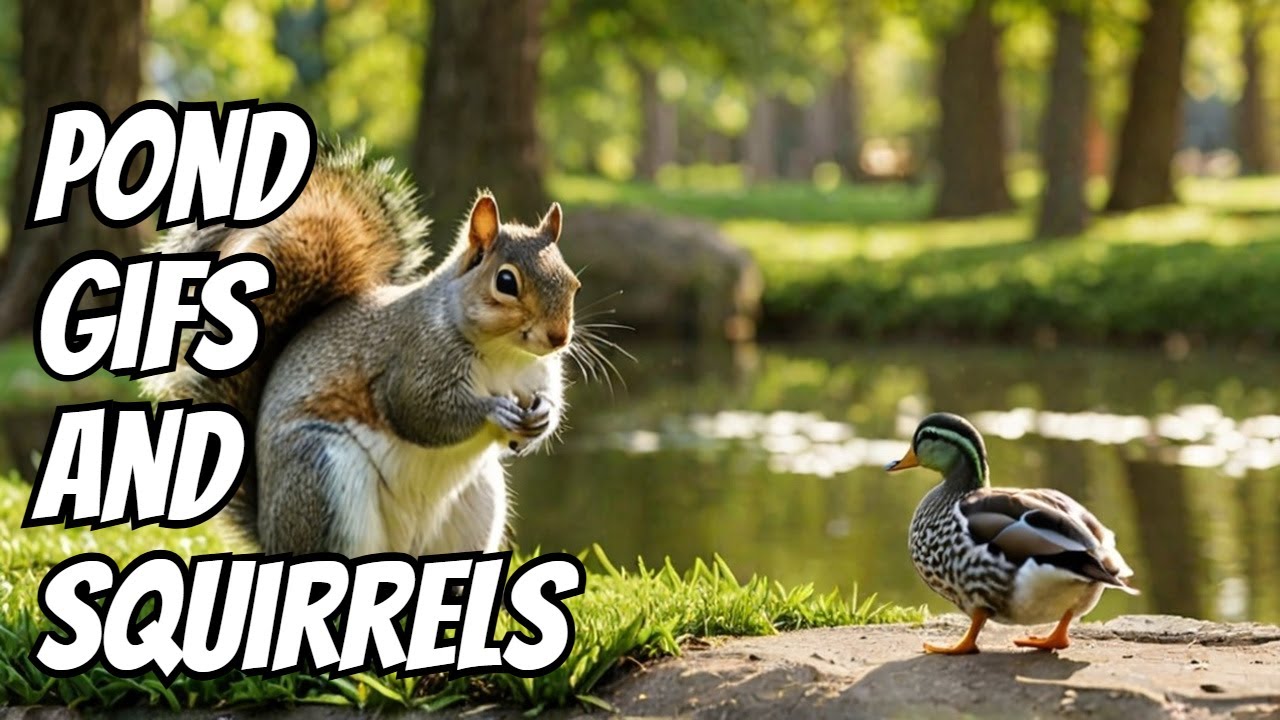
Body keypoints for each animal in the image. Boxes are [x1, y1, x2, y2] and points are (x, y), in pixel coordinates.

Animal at [142, 141, 580, 556]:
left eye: (572, 281)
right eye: (506, 282)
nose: (558, 337)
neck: (505, 354)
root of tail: (270, 534)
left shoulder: (539, 373)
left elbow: (546, 403)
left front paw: (542, 417)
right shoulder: (412, 361)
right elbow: (419, 413)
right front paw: (494, 410)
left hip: (477, 503)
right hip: (324, 481)